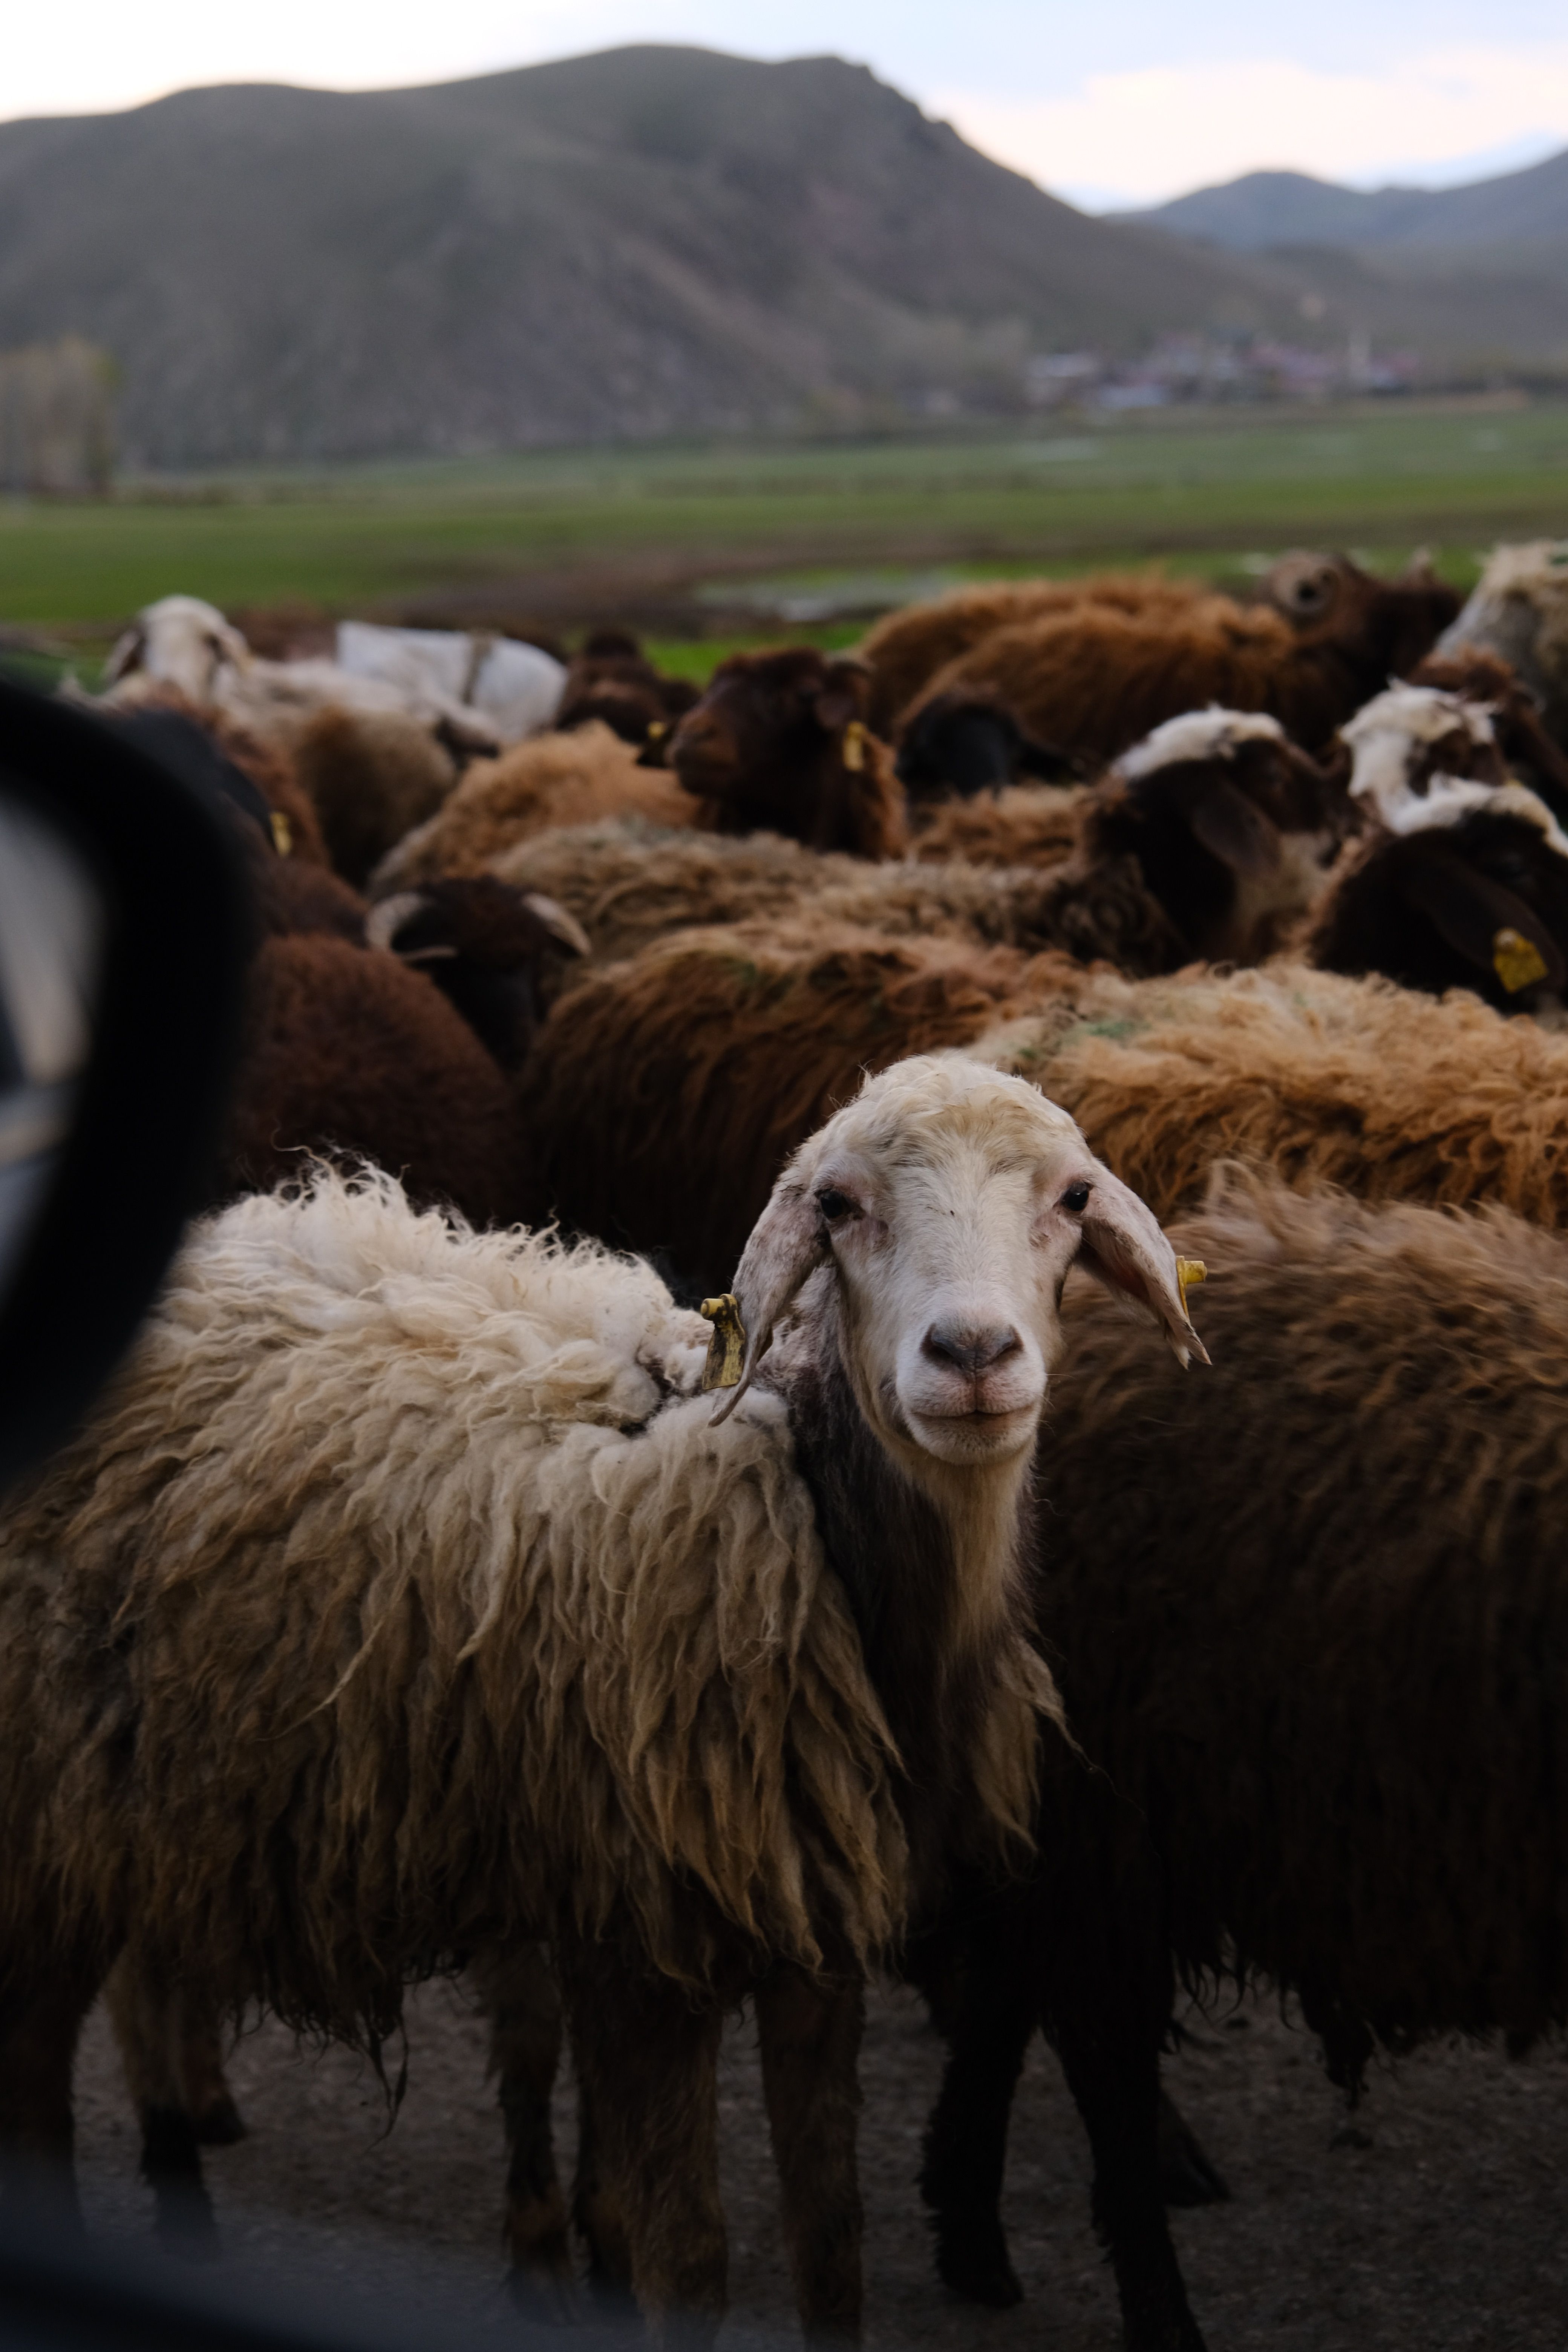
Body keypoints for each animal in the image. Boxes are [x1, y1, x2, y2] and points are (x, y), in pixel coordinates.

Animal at [0, 1063, 1201, 2338]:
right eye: (836, 1205)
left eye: (1073, 1198)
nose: (972, 1353)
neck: (808, 1521)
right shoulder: (645, 1949)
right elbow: (688, 2256)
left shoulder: (811, 1945)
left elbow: (831, 2245)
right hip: (54, 1800)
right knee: (34, 2063)